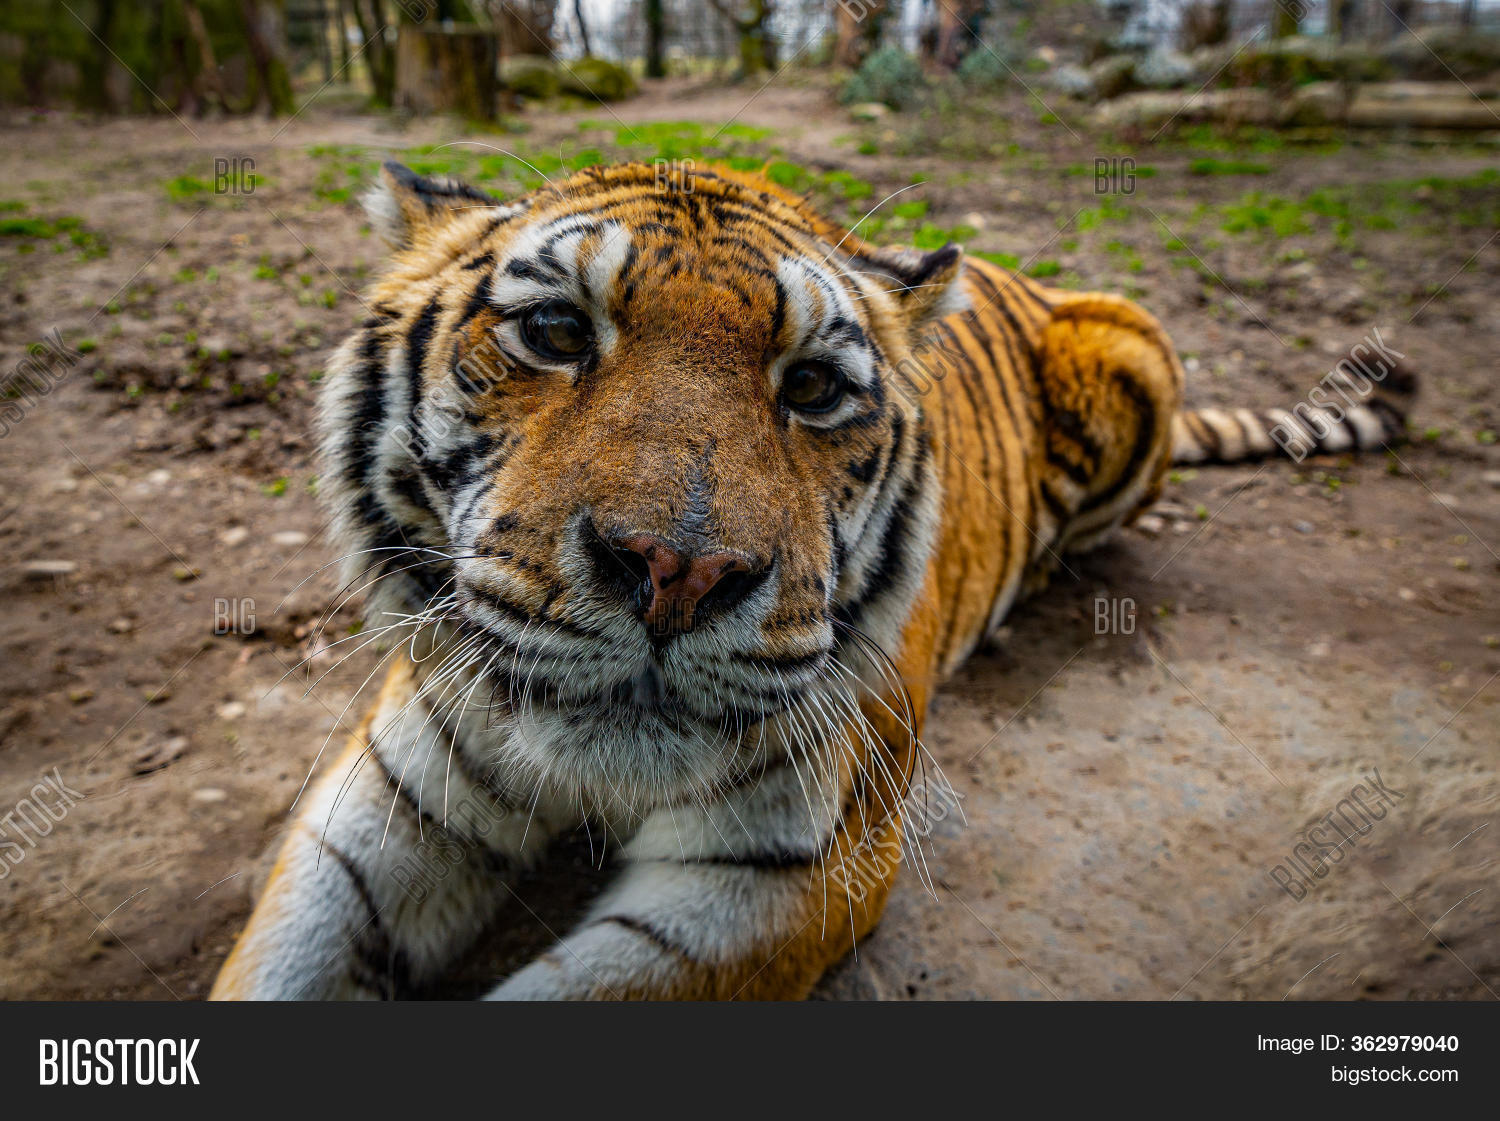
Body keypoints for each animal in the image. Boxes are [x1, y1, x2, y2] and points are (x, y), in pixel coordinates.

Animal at [210, 159, 1413, 1000]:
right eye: (554, 330)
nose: (677, 571)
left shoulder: (787, 876)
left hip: (1130, 339)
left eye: (815, 387)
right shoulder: (374, 811)